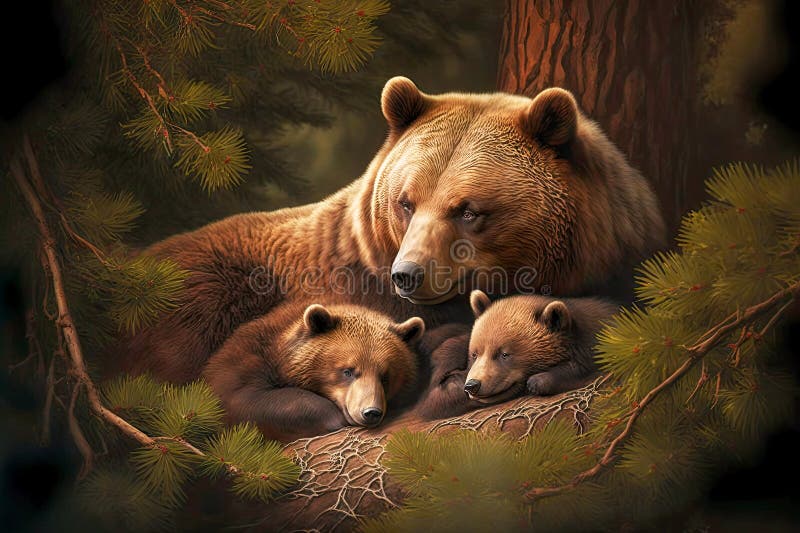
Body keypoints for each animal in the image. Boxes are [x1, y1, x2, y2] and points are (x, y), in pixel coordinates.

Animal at [202, 301, 424, 441]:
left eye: (385, 376)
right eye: (348, 371)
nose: (371, 412)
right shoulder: (243, 365)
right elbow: (244, 399)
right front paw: (333, 418)